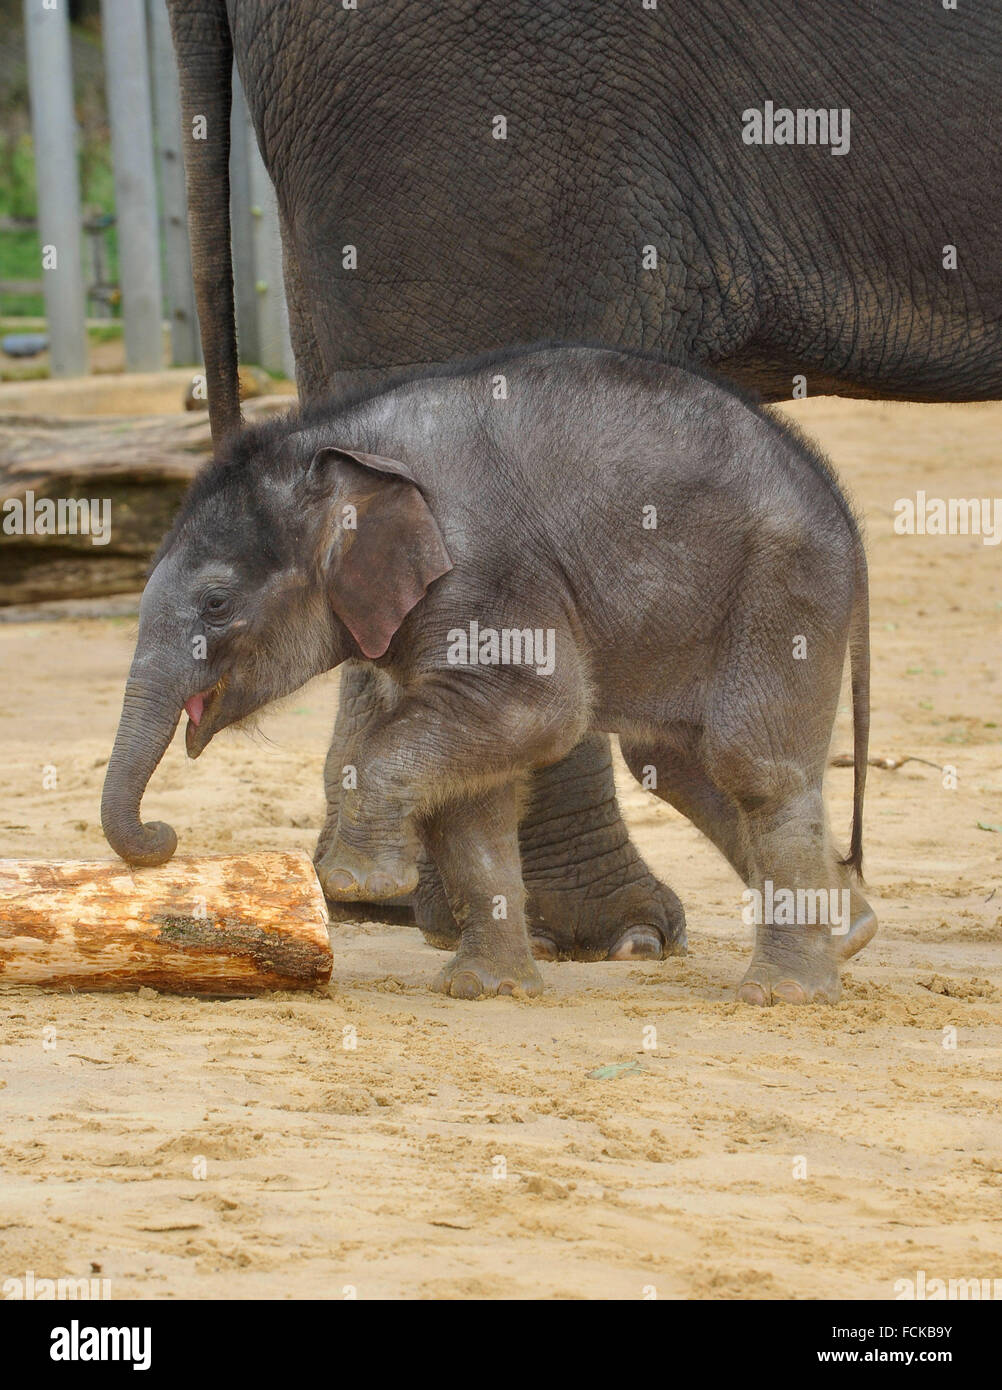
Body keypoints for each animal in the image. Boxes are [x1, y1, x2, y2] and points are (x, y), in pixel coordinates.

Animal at [101, 344, 876, 1003]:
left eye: (216, 604)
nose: (164, 839)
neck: (338, 446)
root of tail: (840, 501)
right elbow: (471, 795)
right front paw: (485, 990)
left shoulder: (486, 572)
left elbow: (545, 713)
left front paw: (351, 881)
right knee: (684, 765)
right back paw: (848, 933)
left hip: (784, 590)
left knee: (750, 766)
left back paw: (785, 992)